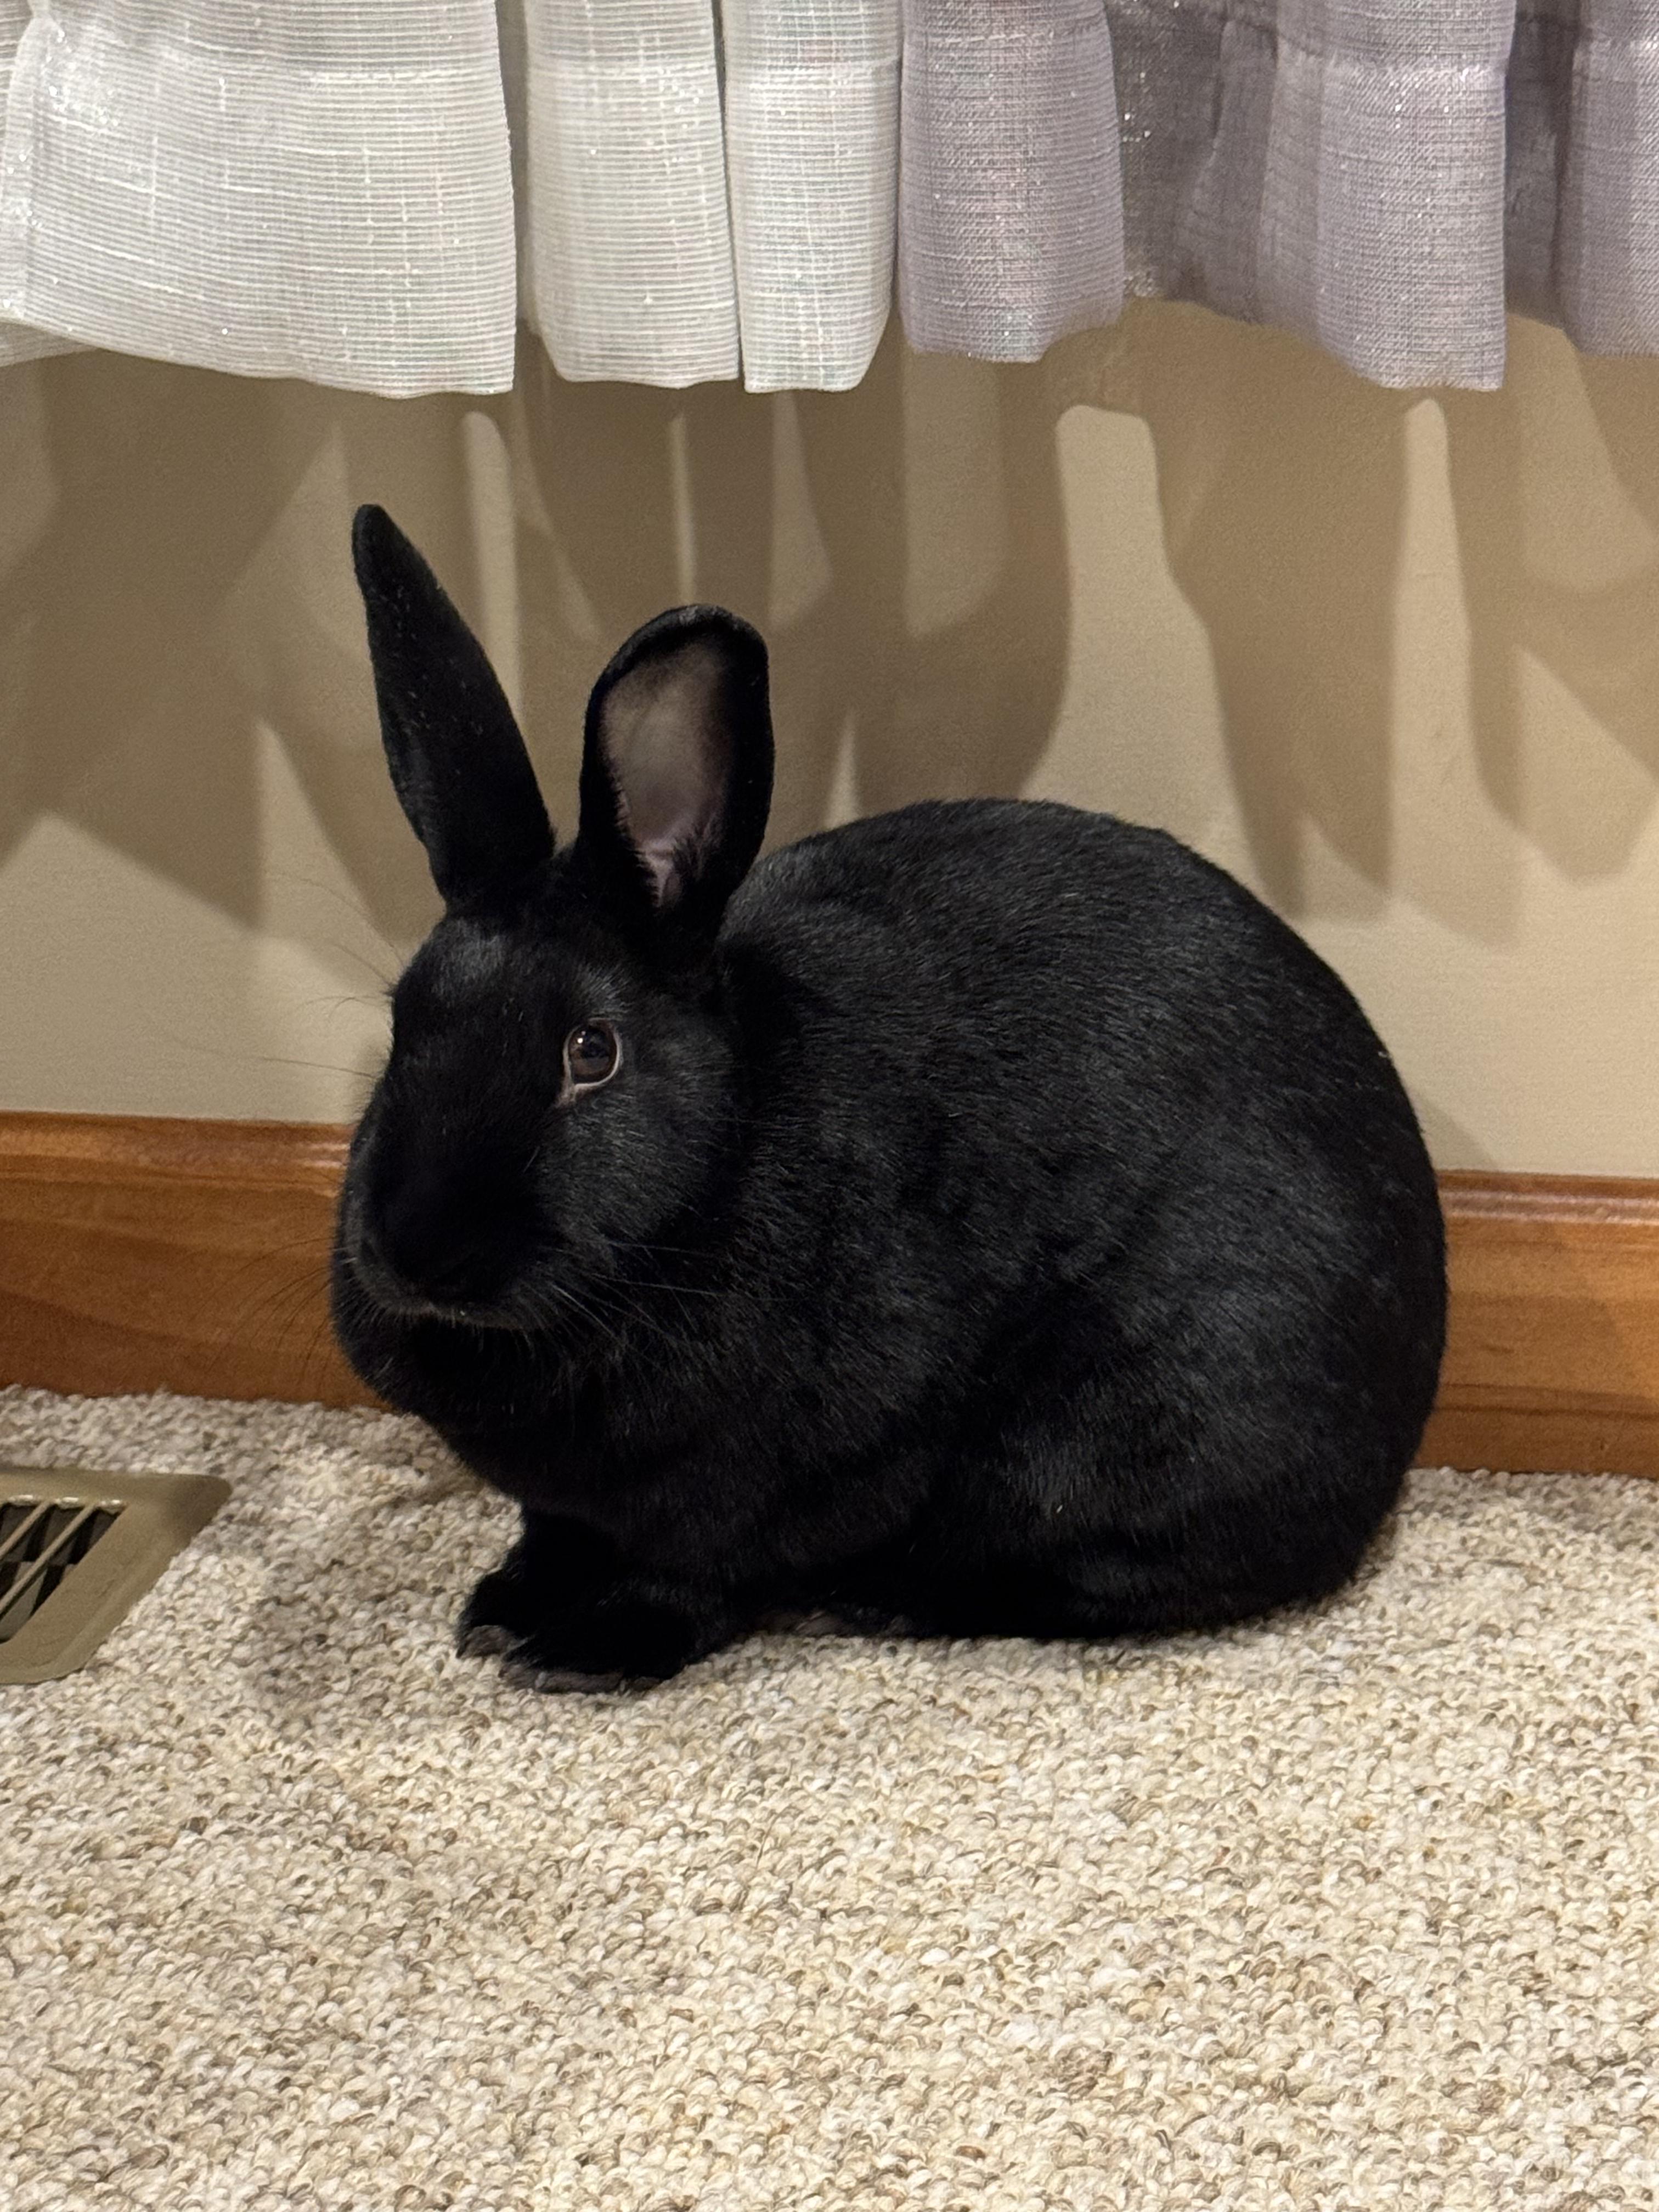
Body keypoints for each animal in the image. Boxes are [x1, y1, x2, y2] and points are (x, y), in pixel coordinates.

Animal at [332, 504, 1446, 1692]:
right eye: (403, 1019)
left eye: (591, 1053)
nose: (414, 1253)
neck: (712, 1182)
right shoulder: (569, 1504)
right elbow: (555, 1530)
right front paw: (501, 1610)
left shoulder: (753, 1482)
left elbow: (688, 1574)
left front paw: (584, 1653)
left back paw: (880, 1600)